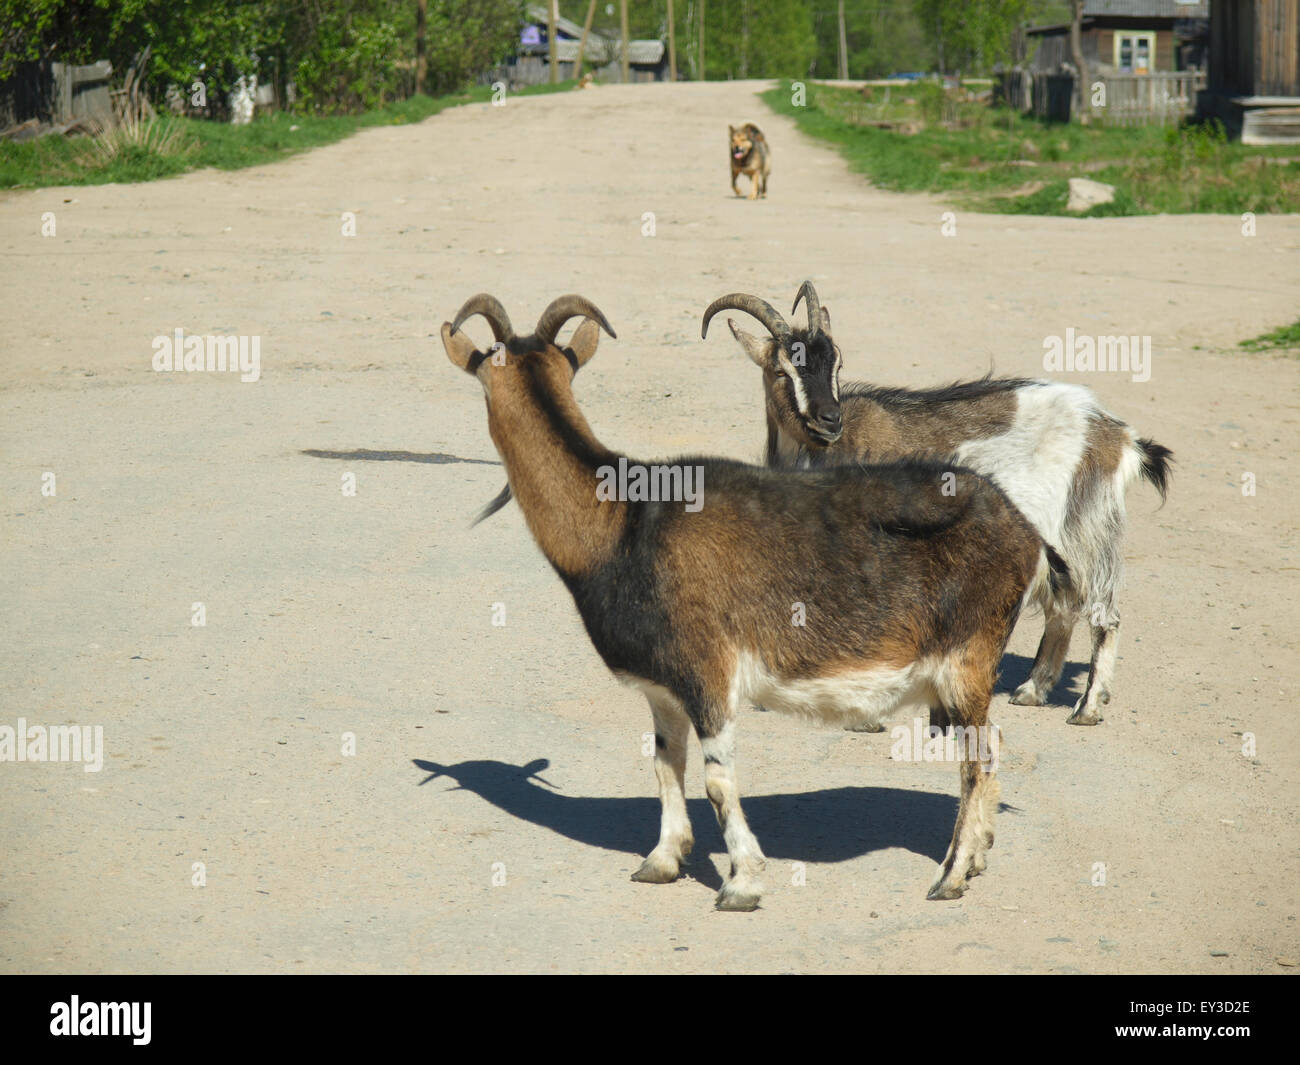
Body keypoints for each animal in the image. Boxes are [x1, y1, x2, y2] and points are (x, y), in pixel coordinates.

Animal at [442, 292, 1069, 911]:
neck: (624, 522)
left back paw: (951, 876)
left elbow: (719, 780)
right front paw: (661, 862)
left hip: (968, 657)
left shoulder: (709, 673)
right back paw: (978, 855)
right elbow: (665, 765)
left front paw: (740, 883)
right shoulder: (662, 688)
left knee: (977, 757)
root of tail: (1026, 533)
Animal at [701, 282, 1173, 726]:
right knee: (1064, 604)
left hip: (1083, 528)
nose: (830, 420)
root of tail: (1115, 435)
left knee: (1102, 611)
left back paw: (1087, 707)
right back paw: (1032, 690)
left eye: (837, 362)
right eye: (782, 370)